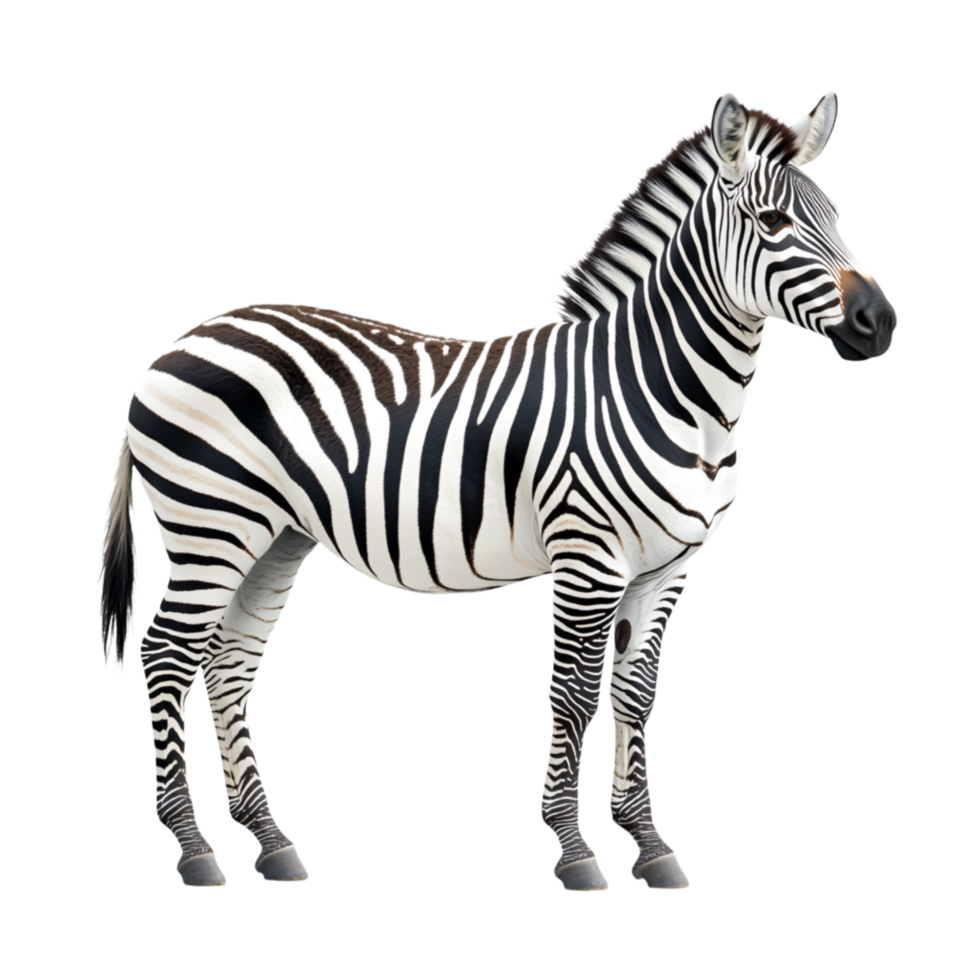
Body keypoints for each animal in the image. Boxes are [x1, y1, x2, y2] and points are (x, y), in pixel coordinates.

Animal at [96, 90, 897, 889]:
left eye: (838, 216)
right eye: (774, 222)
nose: (881, 324)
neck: (665, 389)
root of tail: (180, 340)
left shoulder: (668, 568)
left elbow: (637, 695)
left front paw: (651, 845)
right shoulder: (587, 557)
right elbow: (573, 695)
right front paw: (576, 850)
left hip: (275, 538)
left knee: (227, 666)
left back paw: (271, 841)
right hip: (210, 525)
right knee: (165, 656)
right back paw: (194, 846)